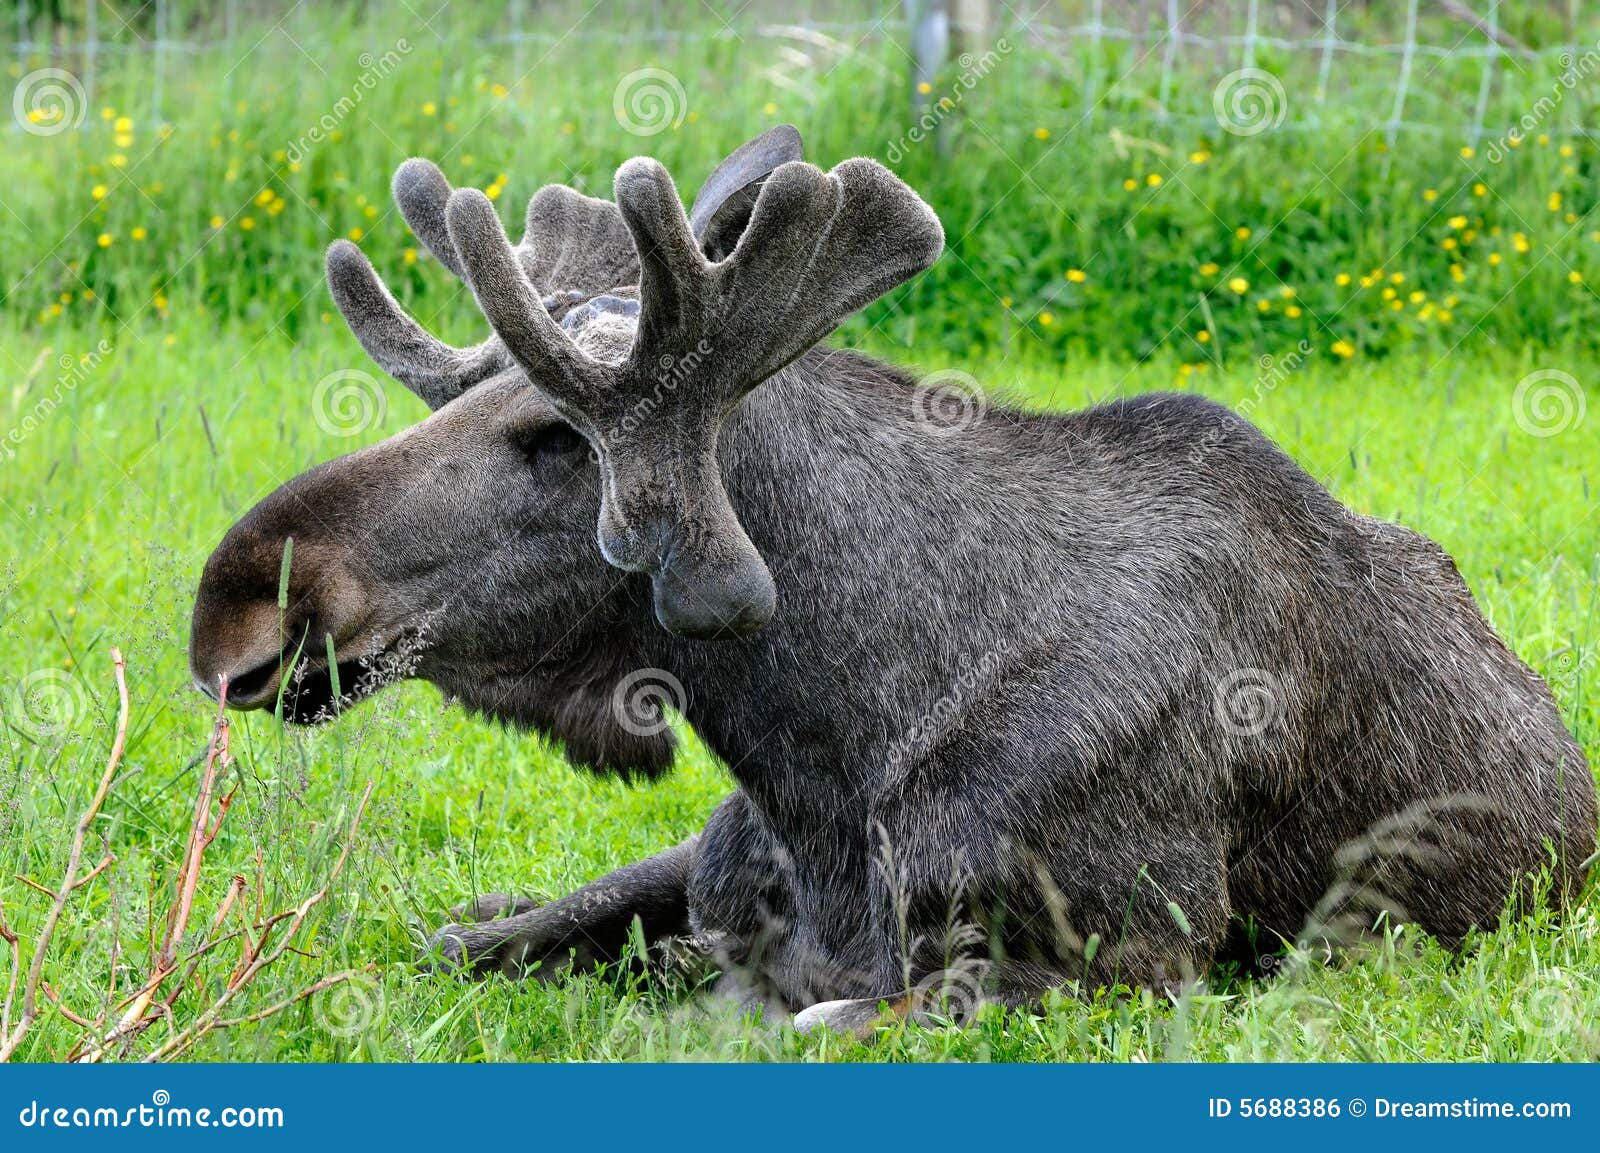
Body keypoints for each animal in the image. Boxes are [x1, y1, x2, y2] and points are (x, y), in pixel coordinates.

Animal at [189, 126, 1597, 1035]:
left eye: (556, 439)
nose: (239, 601)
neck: (825, 752)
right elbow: (458, 947)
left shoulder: (1117, 964)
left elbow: (816, 1025)